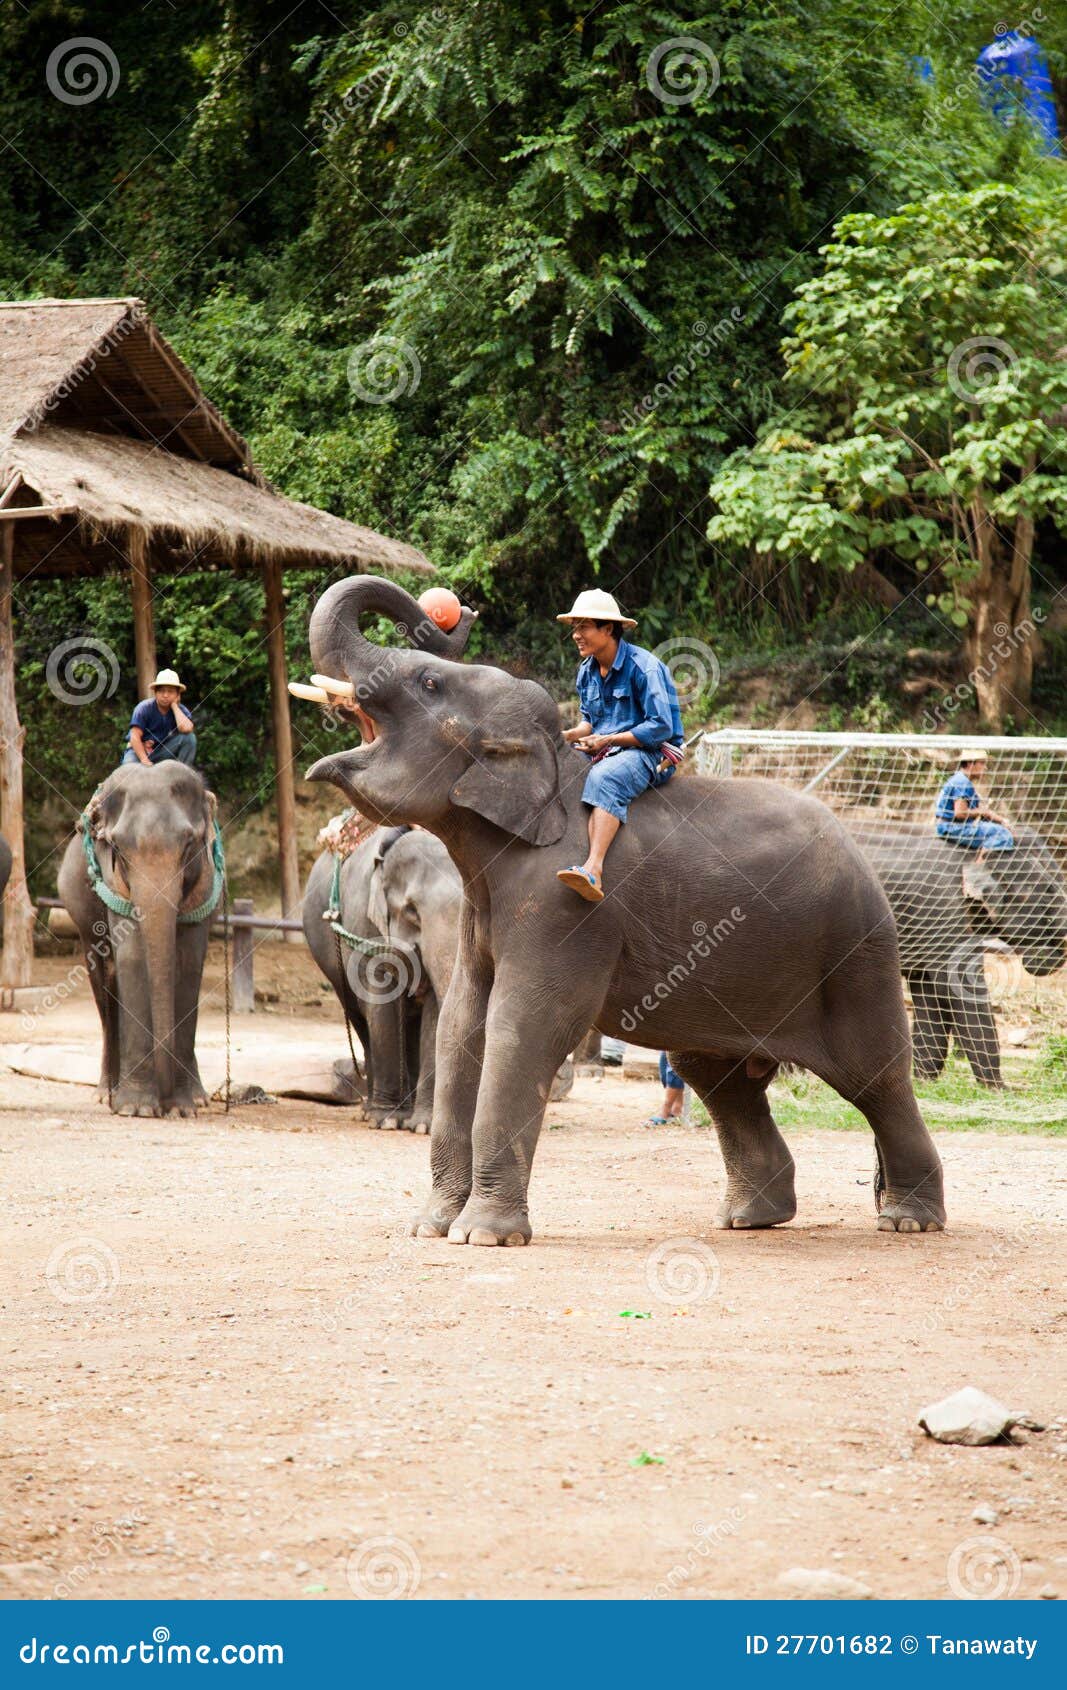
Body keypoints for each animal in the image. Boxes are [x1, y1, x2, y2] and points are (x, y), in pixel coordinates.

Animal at [57, 763, 220, 1117]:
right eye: (117, 847)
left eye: (189, 844)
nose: (167, 1101)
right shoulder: (111, 878)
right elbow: (131, 955)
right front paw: (138, 1108)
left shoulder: (206, 878)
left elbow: (189, 961)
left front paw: (183, 1109)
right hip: (80, 914)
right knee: (104, 984)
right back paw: (106, 1094)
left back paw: (199, 1097)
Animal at [301, 574, 945, 1246]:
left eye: (429, 683)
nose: (458, 611)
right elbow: (462, 1025)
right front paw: (432, 1228)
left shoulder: (566, 906)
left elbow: (525, 1024)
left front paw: (484, 1236)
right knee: (719, 1077)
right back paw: (749, 1218)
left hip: (855, 950)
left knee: (873, 1075)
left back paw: (908, 1221)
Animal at [850, 822, 1067, 1088]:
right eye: (1047, 892)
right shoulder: (944, 912)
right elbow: (962, 988)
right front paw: (999, 1089)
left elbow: (930, 997)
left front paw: (925, 1082)